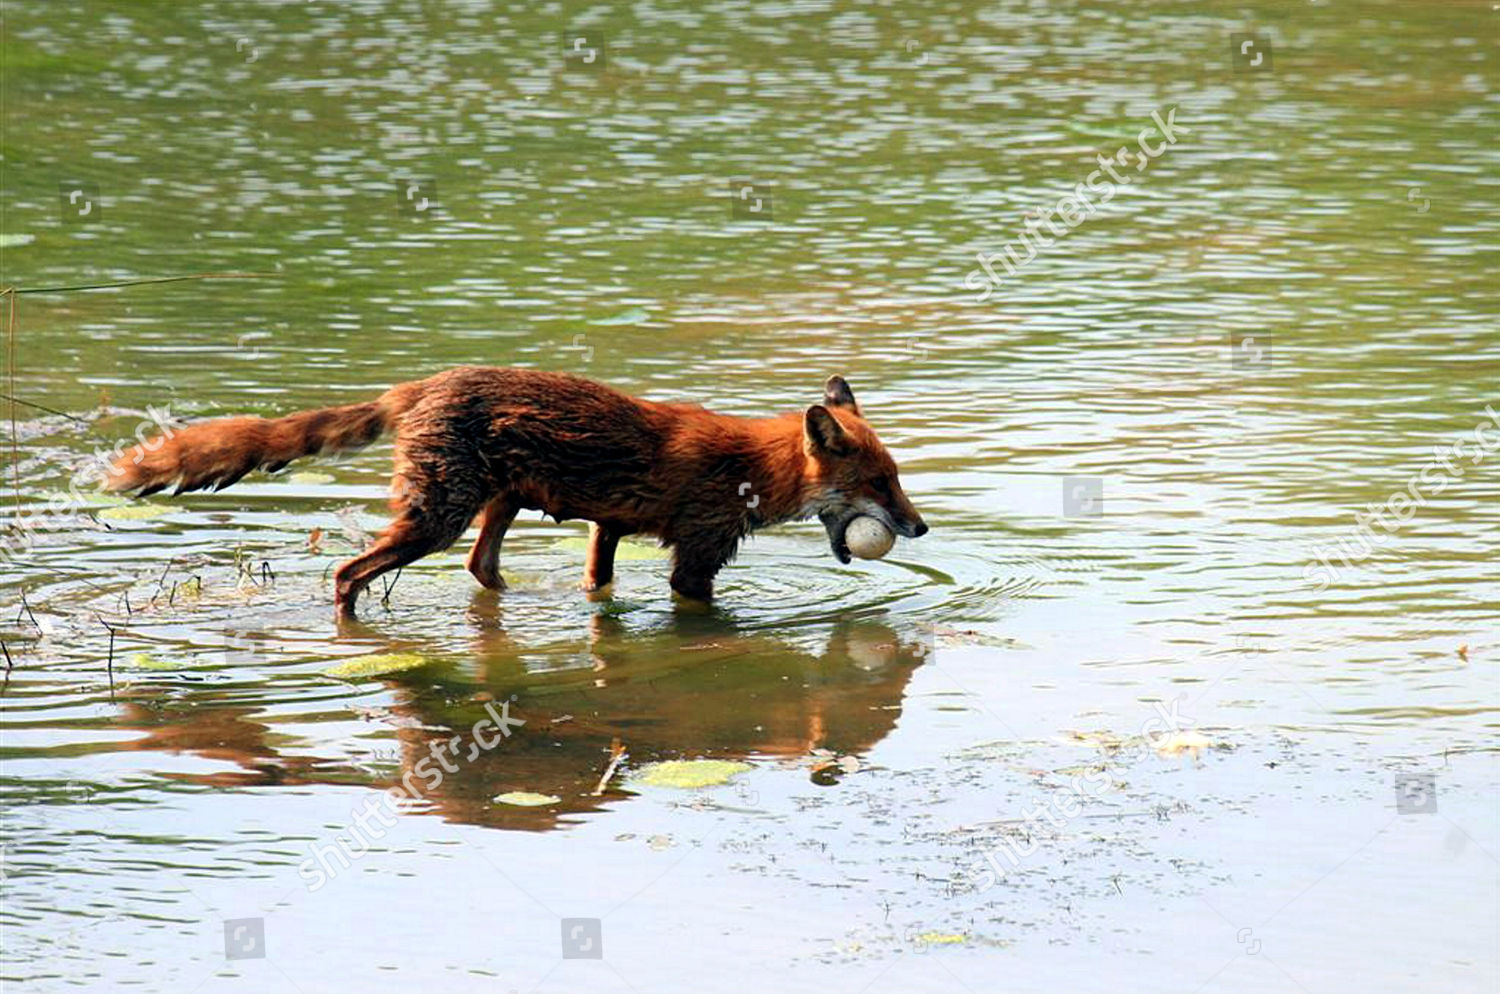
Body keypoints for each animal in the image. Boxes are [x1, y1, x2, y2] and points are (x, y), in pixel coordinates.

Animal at [106, 367, 928, 617]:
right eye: (880, 482)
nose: (919, 529)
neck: (750, 466)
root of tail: (419, 385)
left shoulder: (607, 530)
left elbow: (600, 584)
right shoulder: (695, 557)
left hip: (495, 508)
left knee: (480, 570)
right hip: (436, 518)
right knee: (345, 573)